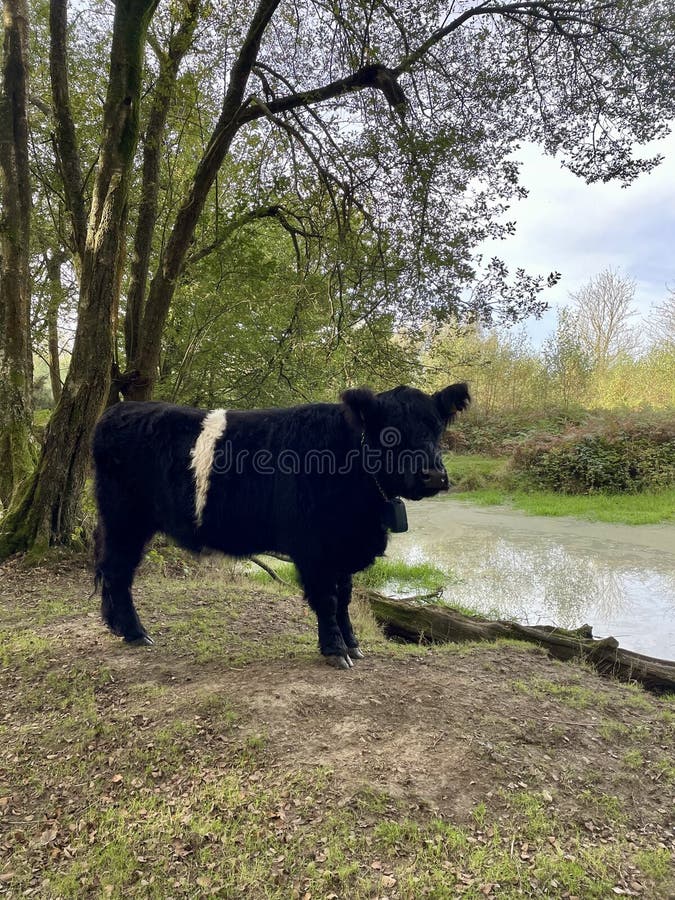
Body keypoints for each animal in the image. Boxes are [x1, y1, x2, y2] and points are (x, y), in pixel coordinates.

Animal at [92, 382, 470, 669]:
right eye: (391, 434)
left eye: (437, 428)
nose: (434, 475)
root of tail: (116, 411)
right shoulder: (314, 548)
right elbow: (327, 599)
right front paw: (335, 651)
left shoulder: (342, 547)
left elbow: (345, 598)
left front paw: (353, 644)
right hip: (124, 520)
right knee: (118, 572)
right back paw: (135, 633)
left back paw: (119, 628)